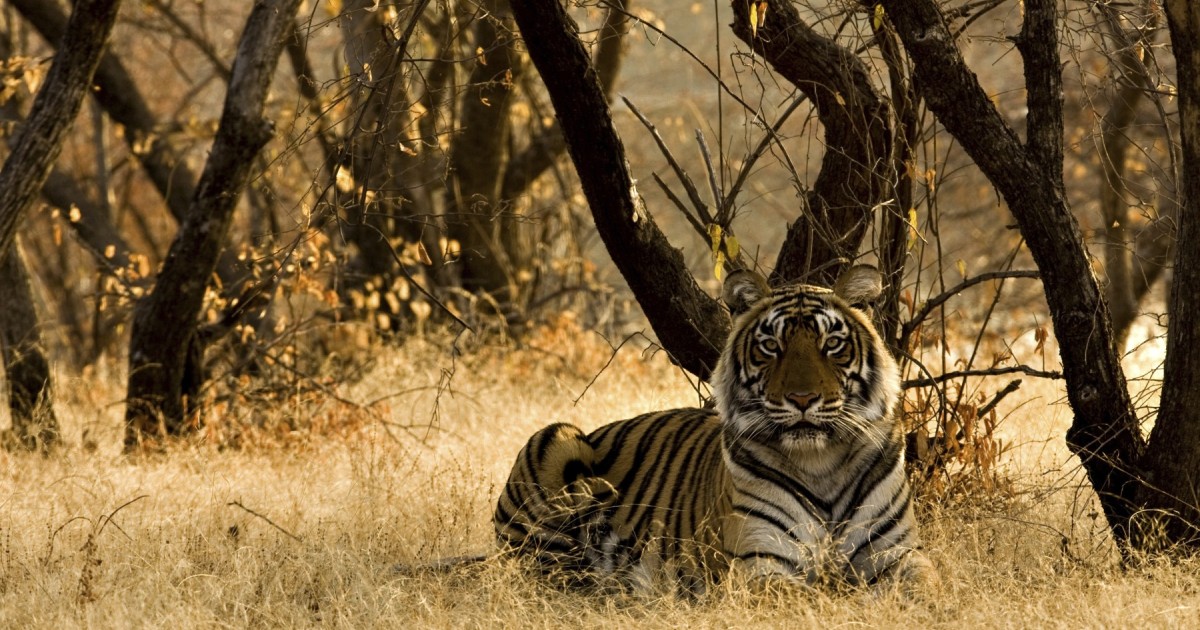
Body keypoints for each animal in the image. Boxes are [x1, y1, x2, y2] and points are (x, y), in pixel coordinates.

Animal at [493, 266, 931, 593]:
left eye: (832, 344)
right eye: (771, 346)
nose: (803, 399)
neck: (820, 462)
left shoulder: (898, 554)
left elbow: (926, 588)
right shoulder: (760, 561)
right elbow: (806, 596)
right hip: (555, 439)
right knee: (540, 570)